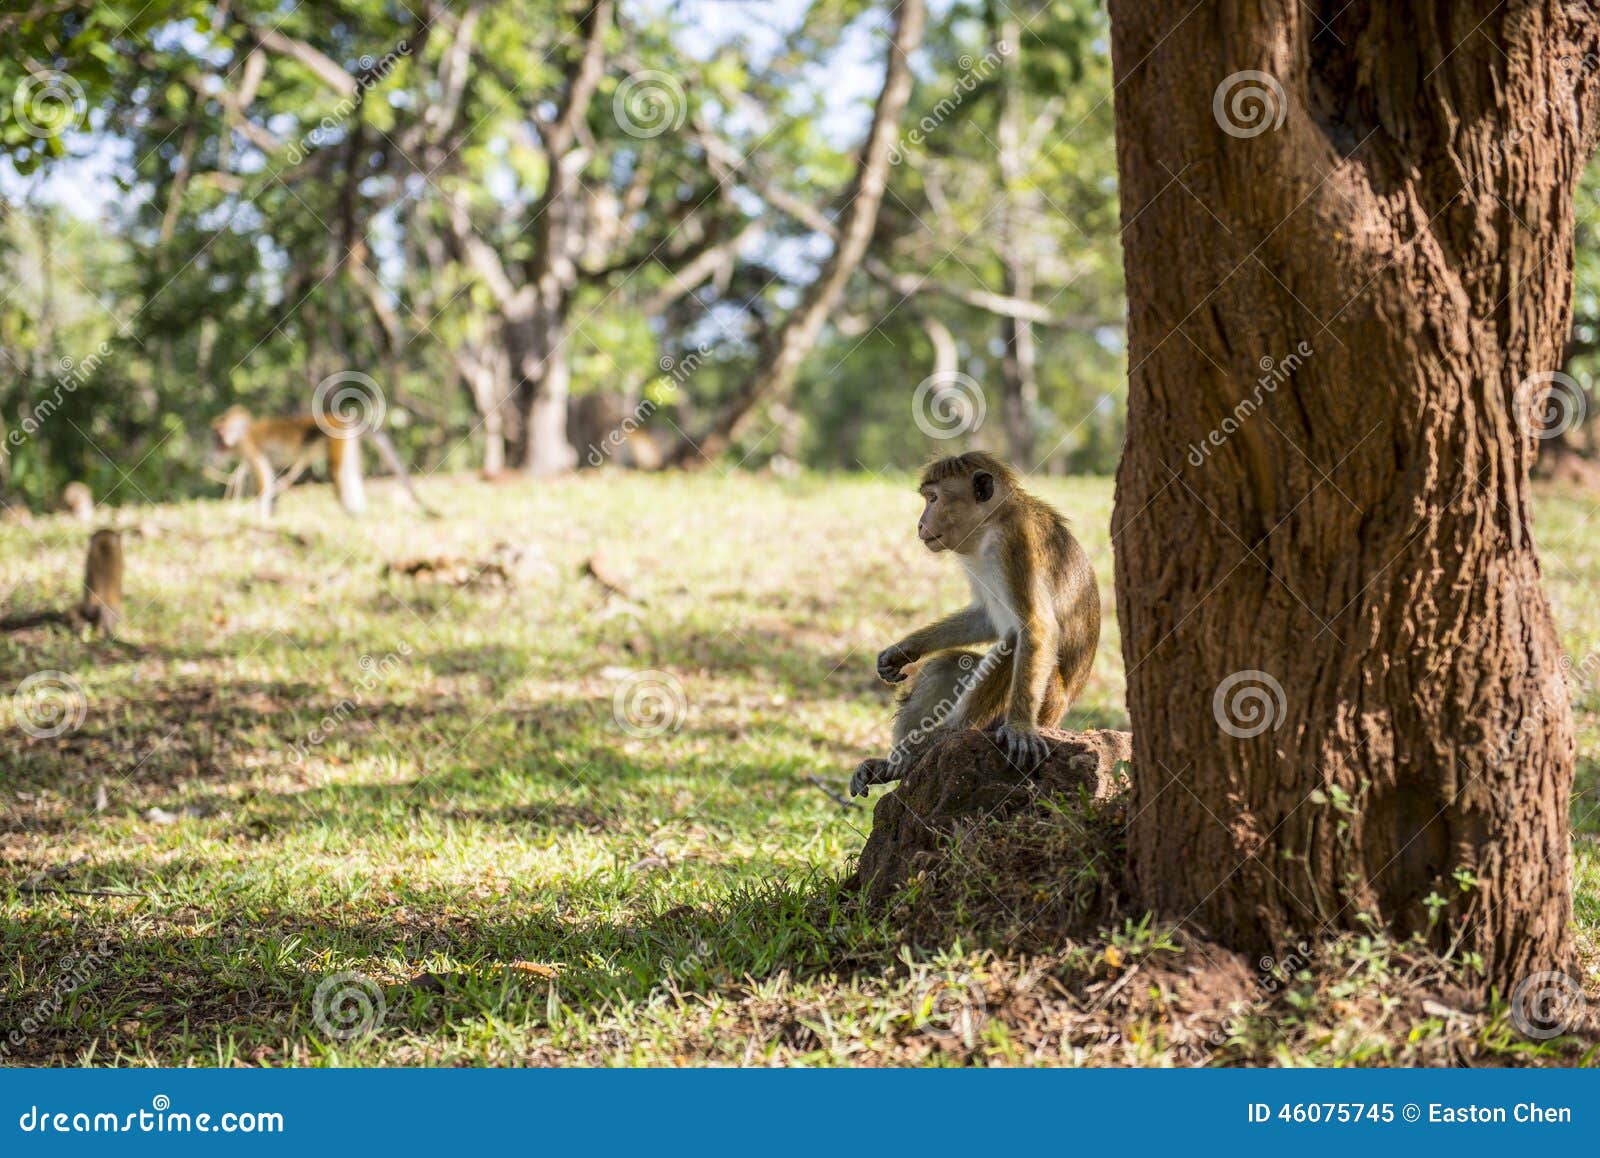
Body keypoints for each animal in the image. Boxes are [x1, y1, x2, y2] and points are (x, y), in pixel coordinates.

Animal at [210, 406, 437, 518]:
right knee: (349, 473)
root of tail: (342, 418)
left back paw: (353, 514)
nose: (214, 445)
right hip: (349, 441)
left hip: (336, 437)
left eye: (219, 435)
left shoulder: (250, 448)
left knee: (336, 472)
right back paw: (361, 513)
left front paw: (259, 517)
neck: (241, 436)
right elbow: (271, 478)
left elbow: (264, 482)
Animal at [849, 451, 1100, 797]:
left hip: (1048, 700)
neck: (990, 524)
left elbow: (1035, 628)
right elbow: (985, 618)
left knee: (1014, 641)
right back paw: (894, 764)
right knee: (945, 667)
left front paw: (1019, 727)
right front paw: (903, 649)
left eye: (933, 498)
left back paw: (948, 733)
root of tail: (1061, 714)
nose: (920, 523)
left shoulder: (1014, 543)